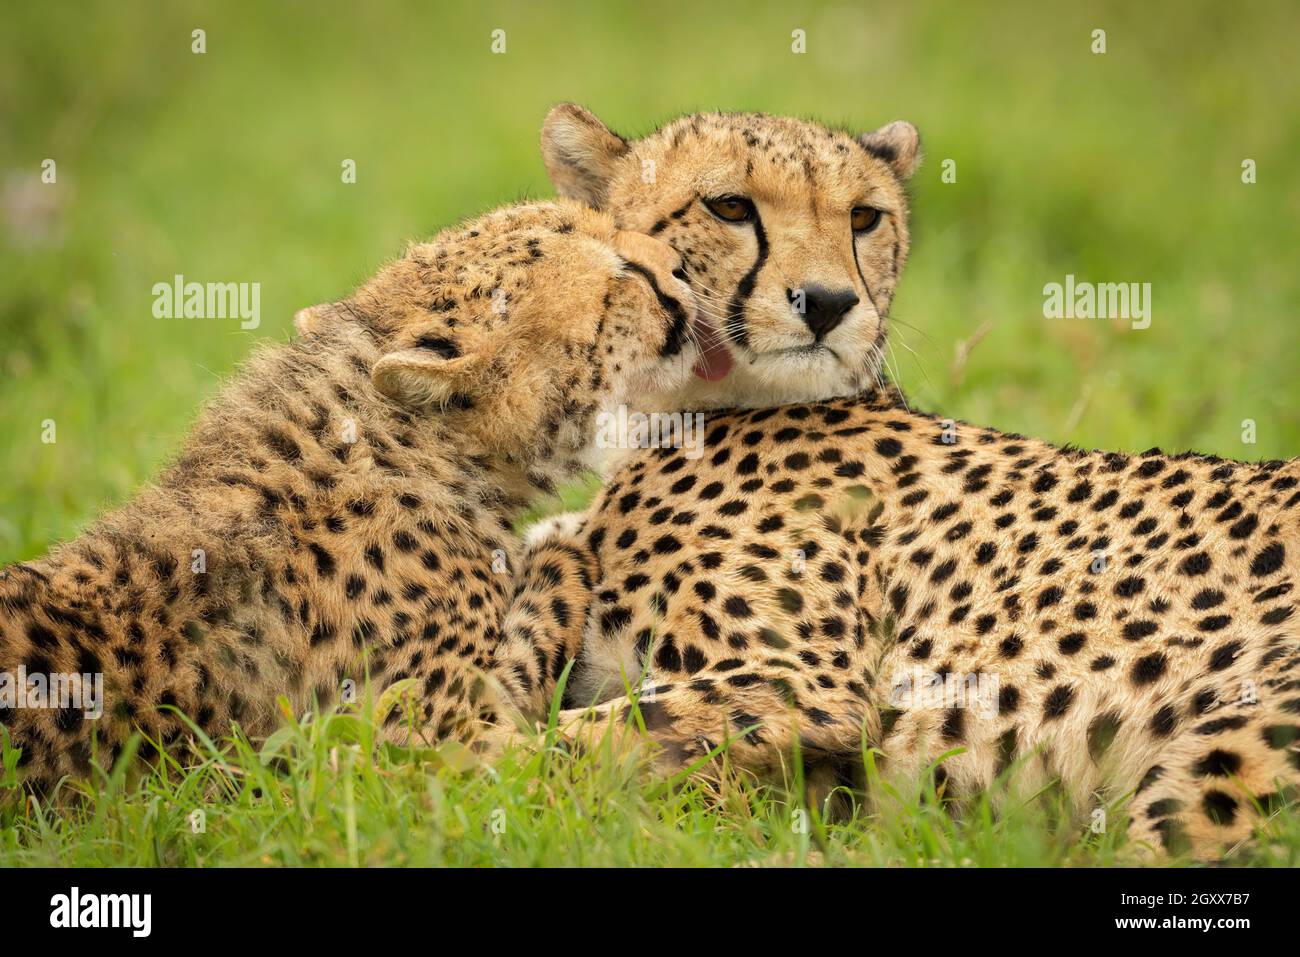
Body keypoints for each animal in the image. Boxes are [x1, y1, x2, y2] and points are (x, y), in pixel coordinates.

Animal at [505, 106, 1300, 860]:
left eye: (864, 217)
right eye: (730, 207)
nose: (828, 302)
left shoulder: (807, 685)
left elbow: (527, 746)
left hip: (1221, 759)